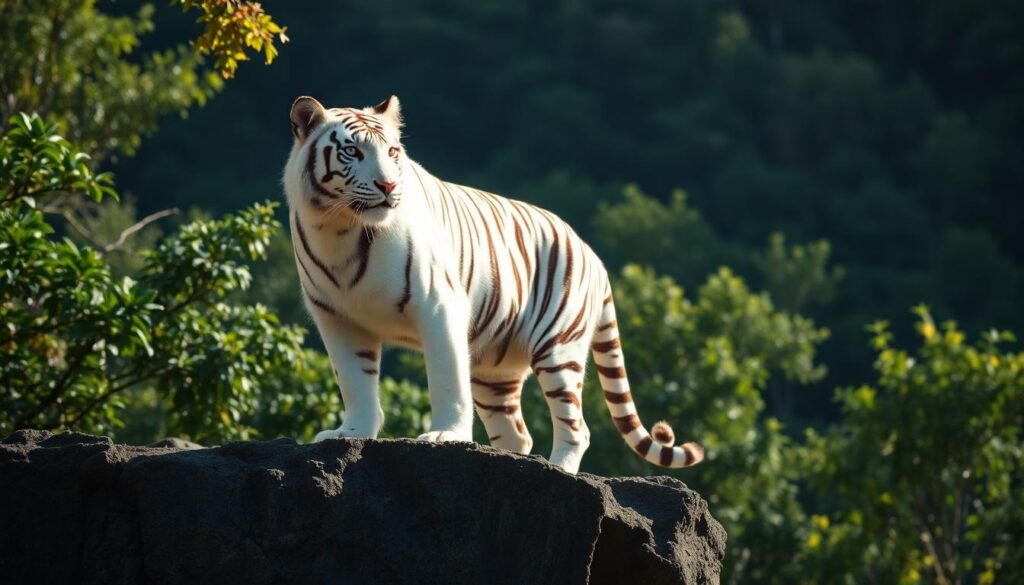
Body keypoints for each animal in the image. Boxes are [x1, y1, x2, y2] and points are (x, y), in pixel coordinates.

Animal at [282, 95, 703, 474]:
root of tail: (593, 257)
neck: (340, 228)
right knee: (517, 433)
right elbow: (355, 382)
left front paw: (445, 436)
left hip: (558, 347)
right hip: (494, 370)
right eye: (352, 152)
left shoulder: (438, 307)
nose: (387, 186)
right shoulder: (338, 319)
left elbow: (446, 380)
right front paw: (351, 433)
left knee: (576, 427)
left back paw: (561, 469)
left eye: (392, 152)